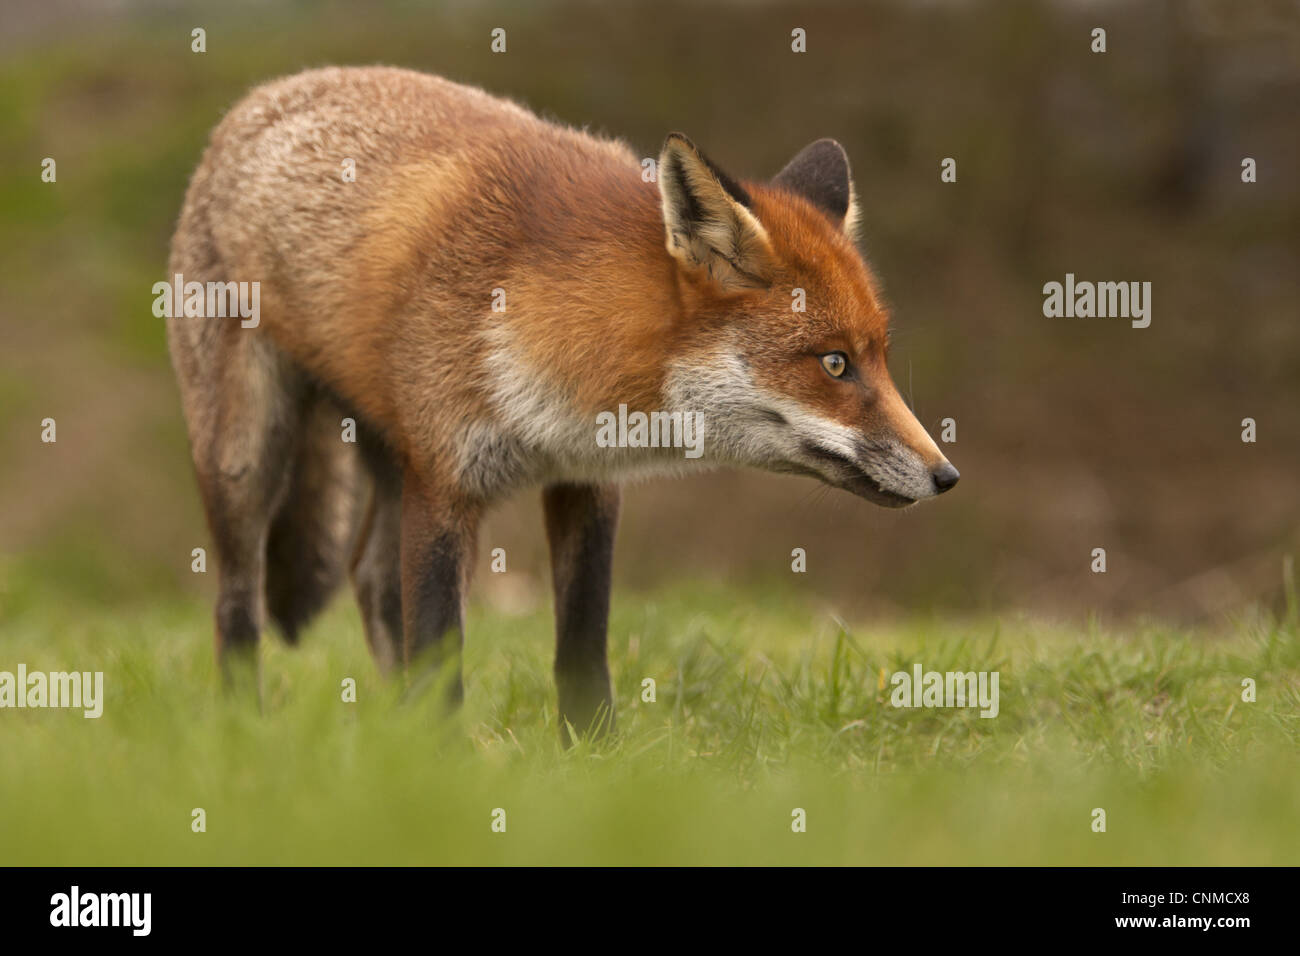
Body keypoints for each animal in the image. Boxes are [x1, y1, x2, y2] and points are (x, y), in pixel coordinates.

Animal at [166, 66, 959, 740]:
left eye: (880, 358)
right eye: (835, 364)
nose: (945, 475)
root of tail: (256, 99)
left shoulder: (587, 479)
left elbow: (582, 643)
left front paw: (592, 757)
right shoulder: (446, 481)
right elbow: (441, 645)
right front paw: (442, 771)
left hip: (390, 456)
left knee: (369, 580)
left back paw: (394, 734)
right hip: (247, 460)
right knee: (238, 605)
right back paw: (244, 732)